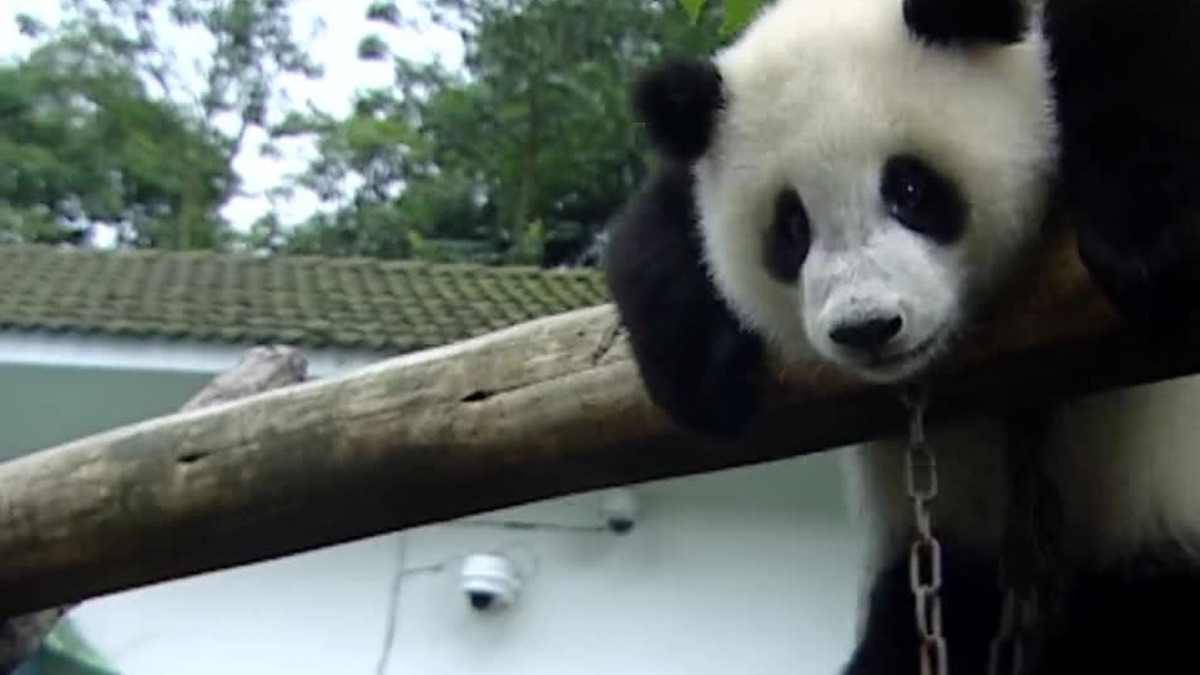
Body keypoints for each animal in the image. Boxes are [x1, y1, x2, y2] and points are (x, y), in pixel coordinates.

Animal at [603, 0, 1200, 673]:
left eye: (909, 187)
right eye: (792, 225)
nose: (867, 327)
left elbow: (1140, 55)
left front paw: (1148, 244)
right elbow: (658, 226)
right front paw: (703, 370)